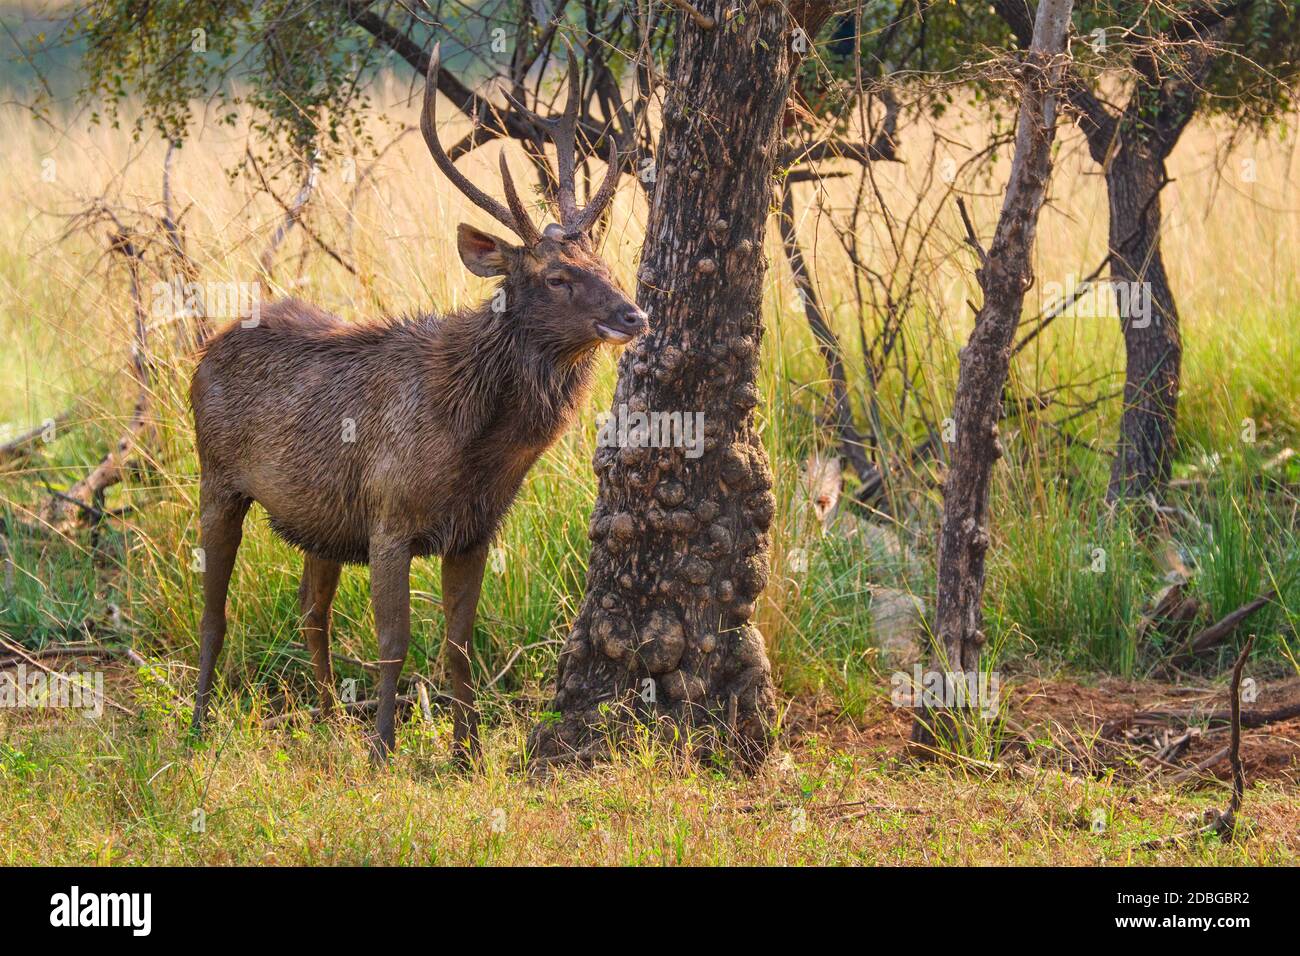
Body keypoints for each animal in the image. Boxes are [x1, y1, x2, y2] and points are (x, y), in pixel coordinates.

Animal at [188, 46, 646, 764]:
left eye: (602, 261)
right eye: (556, 277)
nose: (634, 314)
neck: (473, 445)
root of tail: (208, 347)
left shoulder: (474, 530)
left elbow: (459, 645)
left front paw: (468, 753)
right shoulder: (390, 515)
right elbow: (393, 643)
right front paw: (384, 750)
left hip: (321, 519)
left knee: (311, 609)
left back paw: (327, 721)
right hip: (217, 478)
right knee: (215, 610)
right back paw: (200, 723)